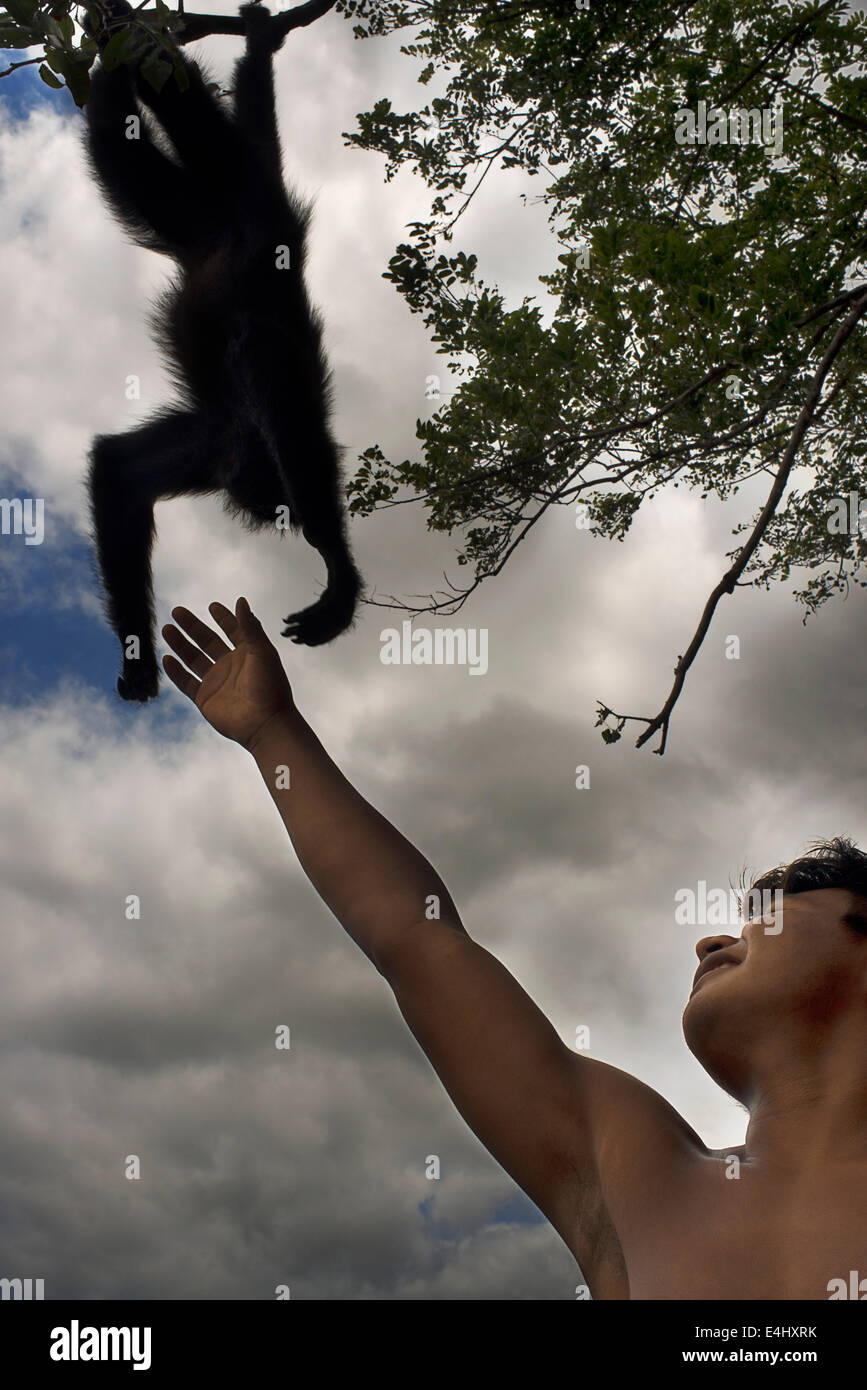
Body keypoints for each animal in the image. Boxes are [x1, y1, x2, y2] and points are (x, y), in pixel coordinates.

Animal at [82, 0, 361, 700]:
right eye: (267, 499)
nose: (250, 494)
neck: (240, 428)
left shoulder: (209, 445)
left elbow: (120, 472)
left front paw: (136, 657)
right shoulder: (254, 396)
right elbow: (287, 409)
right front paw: (340, 576)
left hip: (184, 209)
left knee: (119, 134)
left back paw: (122, 46)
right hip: (234, 185)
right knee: (186, 105)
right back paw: (139, 35)